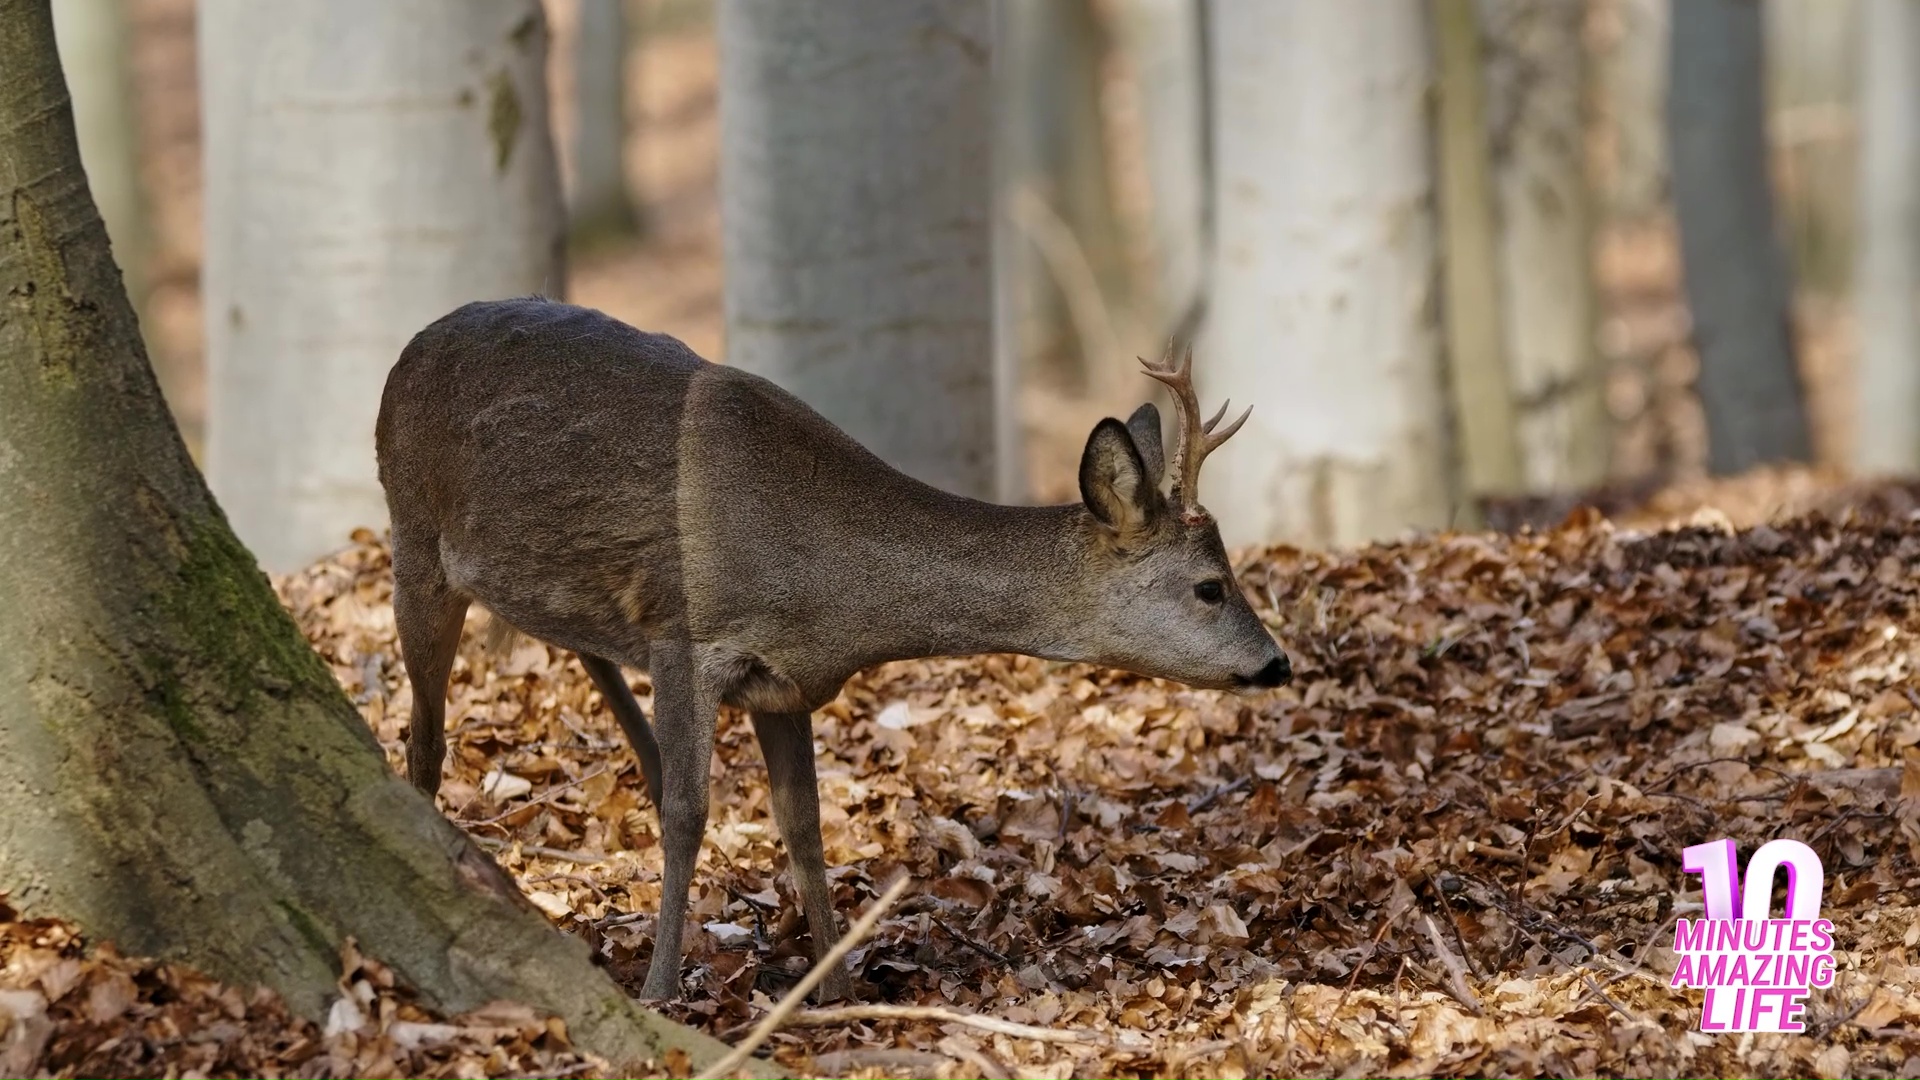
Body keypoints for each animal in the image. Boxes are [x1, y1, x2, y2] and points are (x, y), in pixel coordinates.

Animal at [375, 297, 1291, 1003]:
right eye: (1211, 585)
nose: (1277, 662)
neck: (833, 593)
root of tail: (405, 351)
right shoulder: (686, 634)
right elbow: (691, 813)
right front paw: (662, 987)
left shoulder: (783, 682)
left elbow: (803, 822)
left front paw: (835, 985)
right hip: (414, 535)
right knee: (424, 735)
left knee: (575, 647)